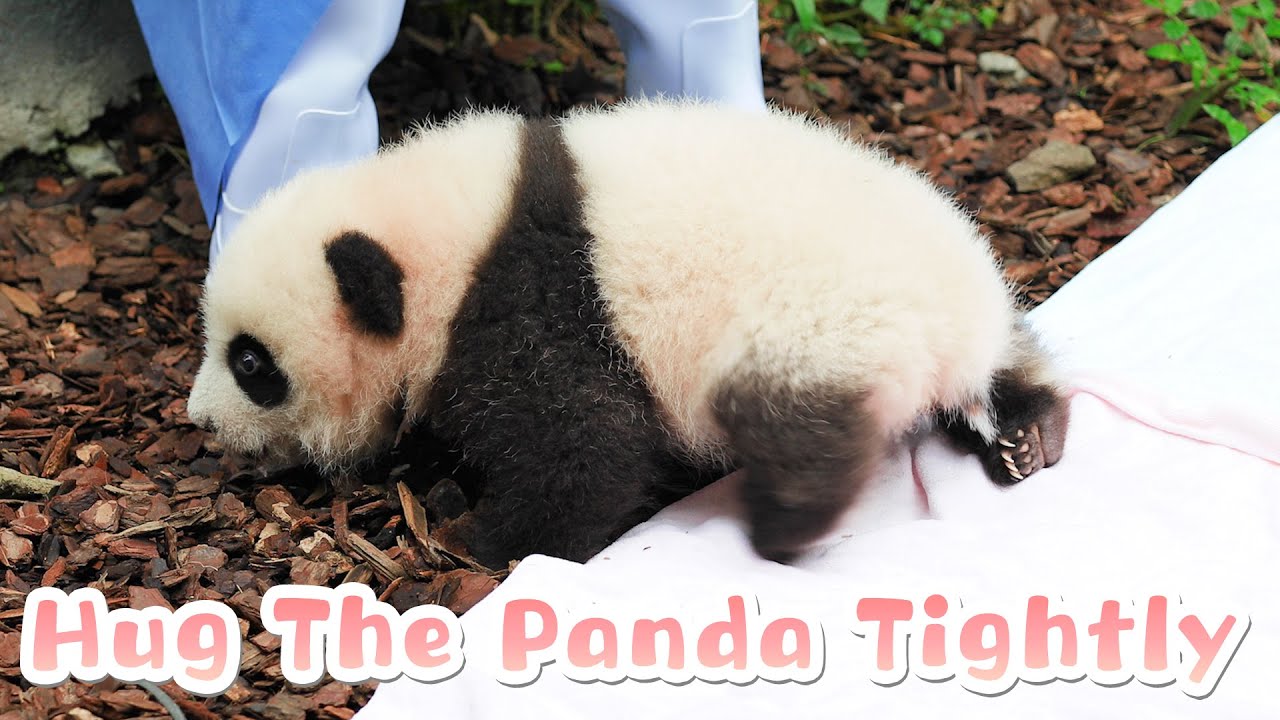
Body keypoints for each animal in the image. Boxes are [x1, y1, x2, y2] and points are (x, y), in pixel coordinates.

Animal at [186, 99, 1070, 567]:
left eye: (251, 362)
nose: (199, 421)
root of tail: (955, 324)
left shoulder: (540, 309)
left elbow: (588, 458)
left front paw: (472, 536)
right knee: (1012, 360)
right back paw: (1029, 432)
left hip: (814, 329)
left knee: (799, 432)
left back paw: (783, 524)